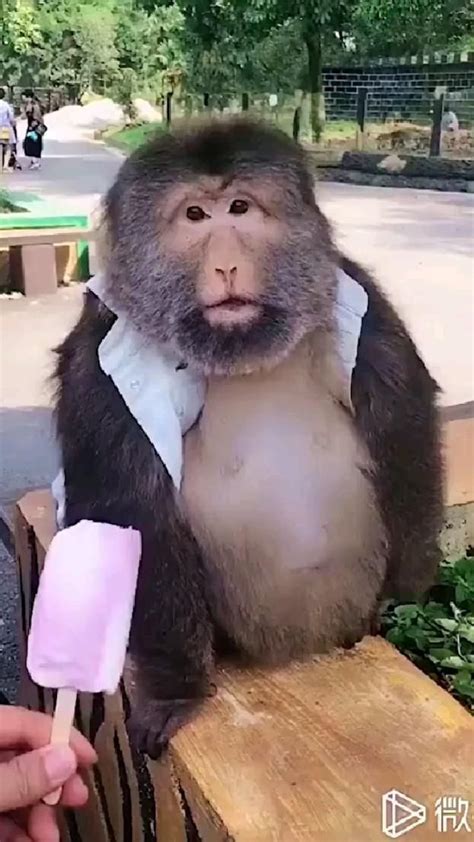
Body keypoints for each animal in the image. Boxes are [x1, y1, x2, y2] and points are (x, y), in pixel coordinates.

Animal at [54, 118, 443, 757]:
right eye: (194, 216)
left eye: (239, 208)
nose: (228, 264)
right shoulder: (100, 349)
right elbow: (131, 512)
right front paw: (179, 688)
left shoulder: (356, 296)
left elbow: (402, 424)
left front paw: (401, 600)